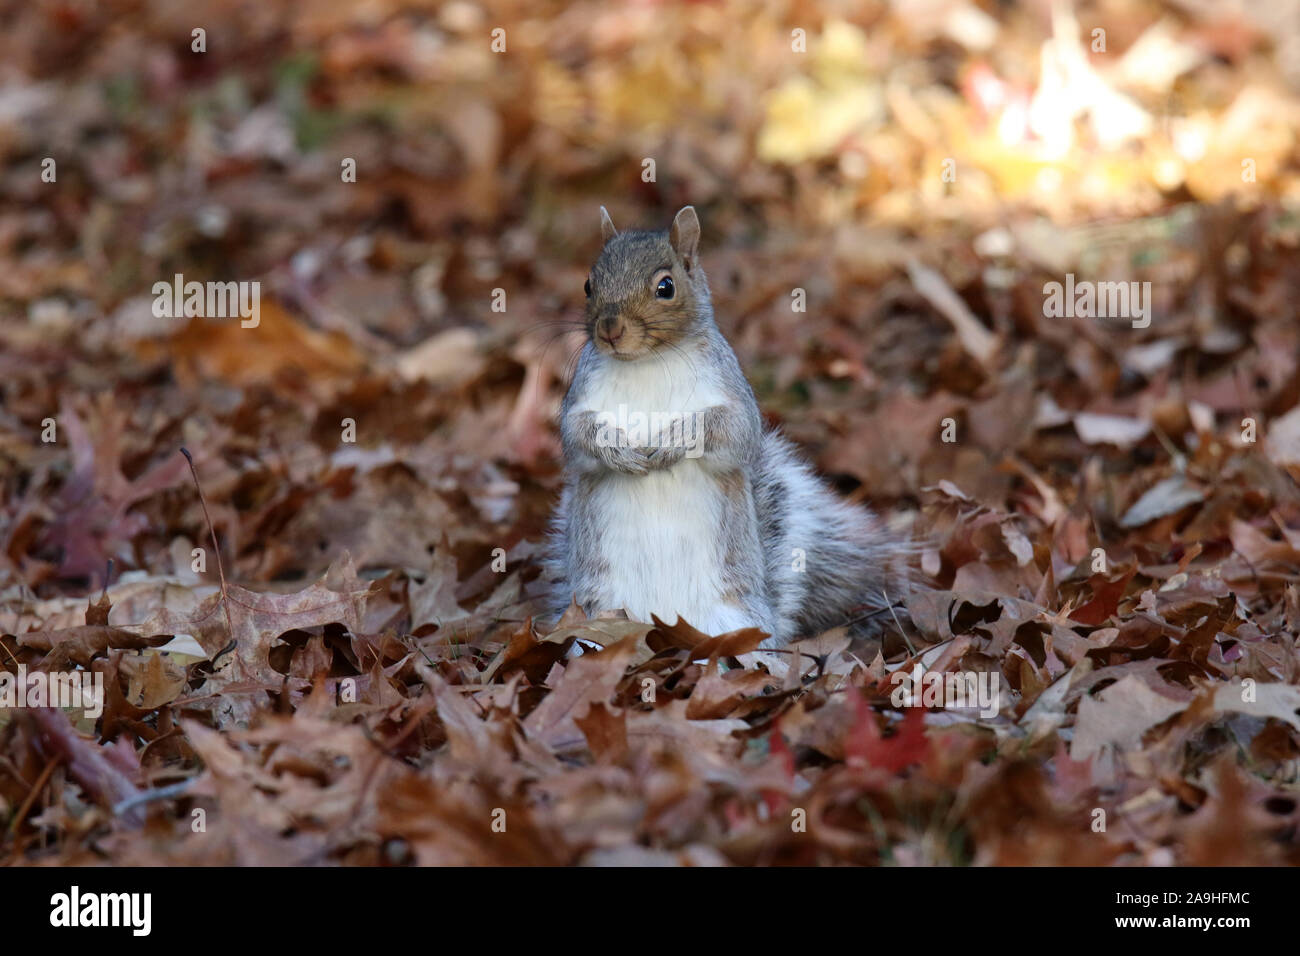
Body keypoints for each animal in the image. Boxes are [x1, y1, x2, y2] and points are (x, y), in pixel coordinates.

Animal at [545, 205, 914, 647]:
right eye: (588, 285)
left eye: (666, 287)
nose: (609, 329)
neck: (647, 362)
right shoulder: (579, 401)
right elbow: (578, 438)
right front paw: (618, 450)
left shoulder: (732, 395)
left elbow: (735, 432)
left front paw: (676, 438)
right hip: (596, 621)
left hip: (734, 623)